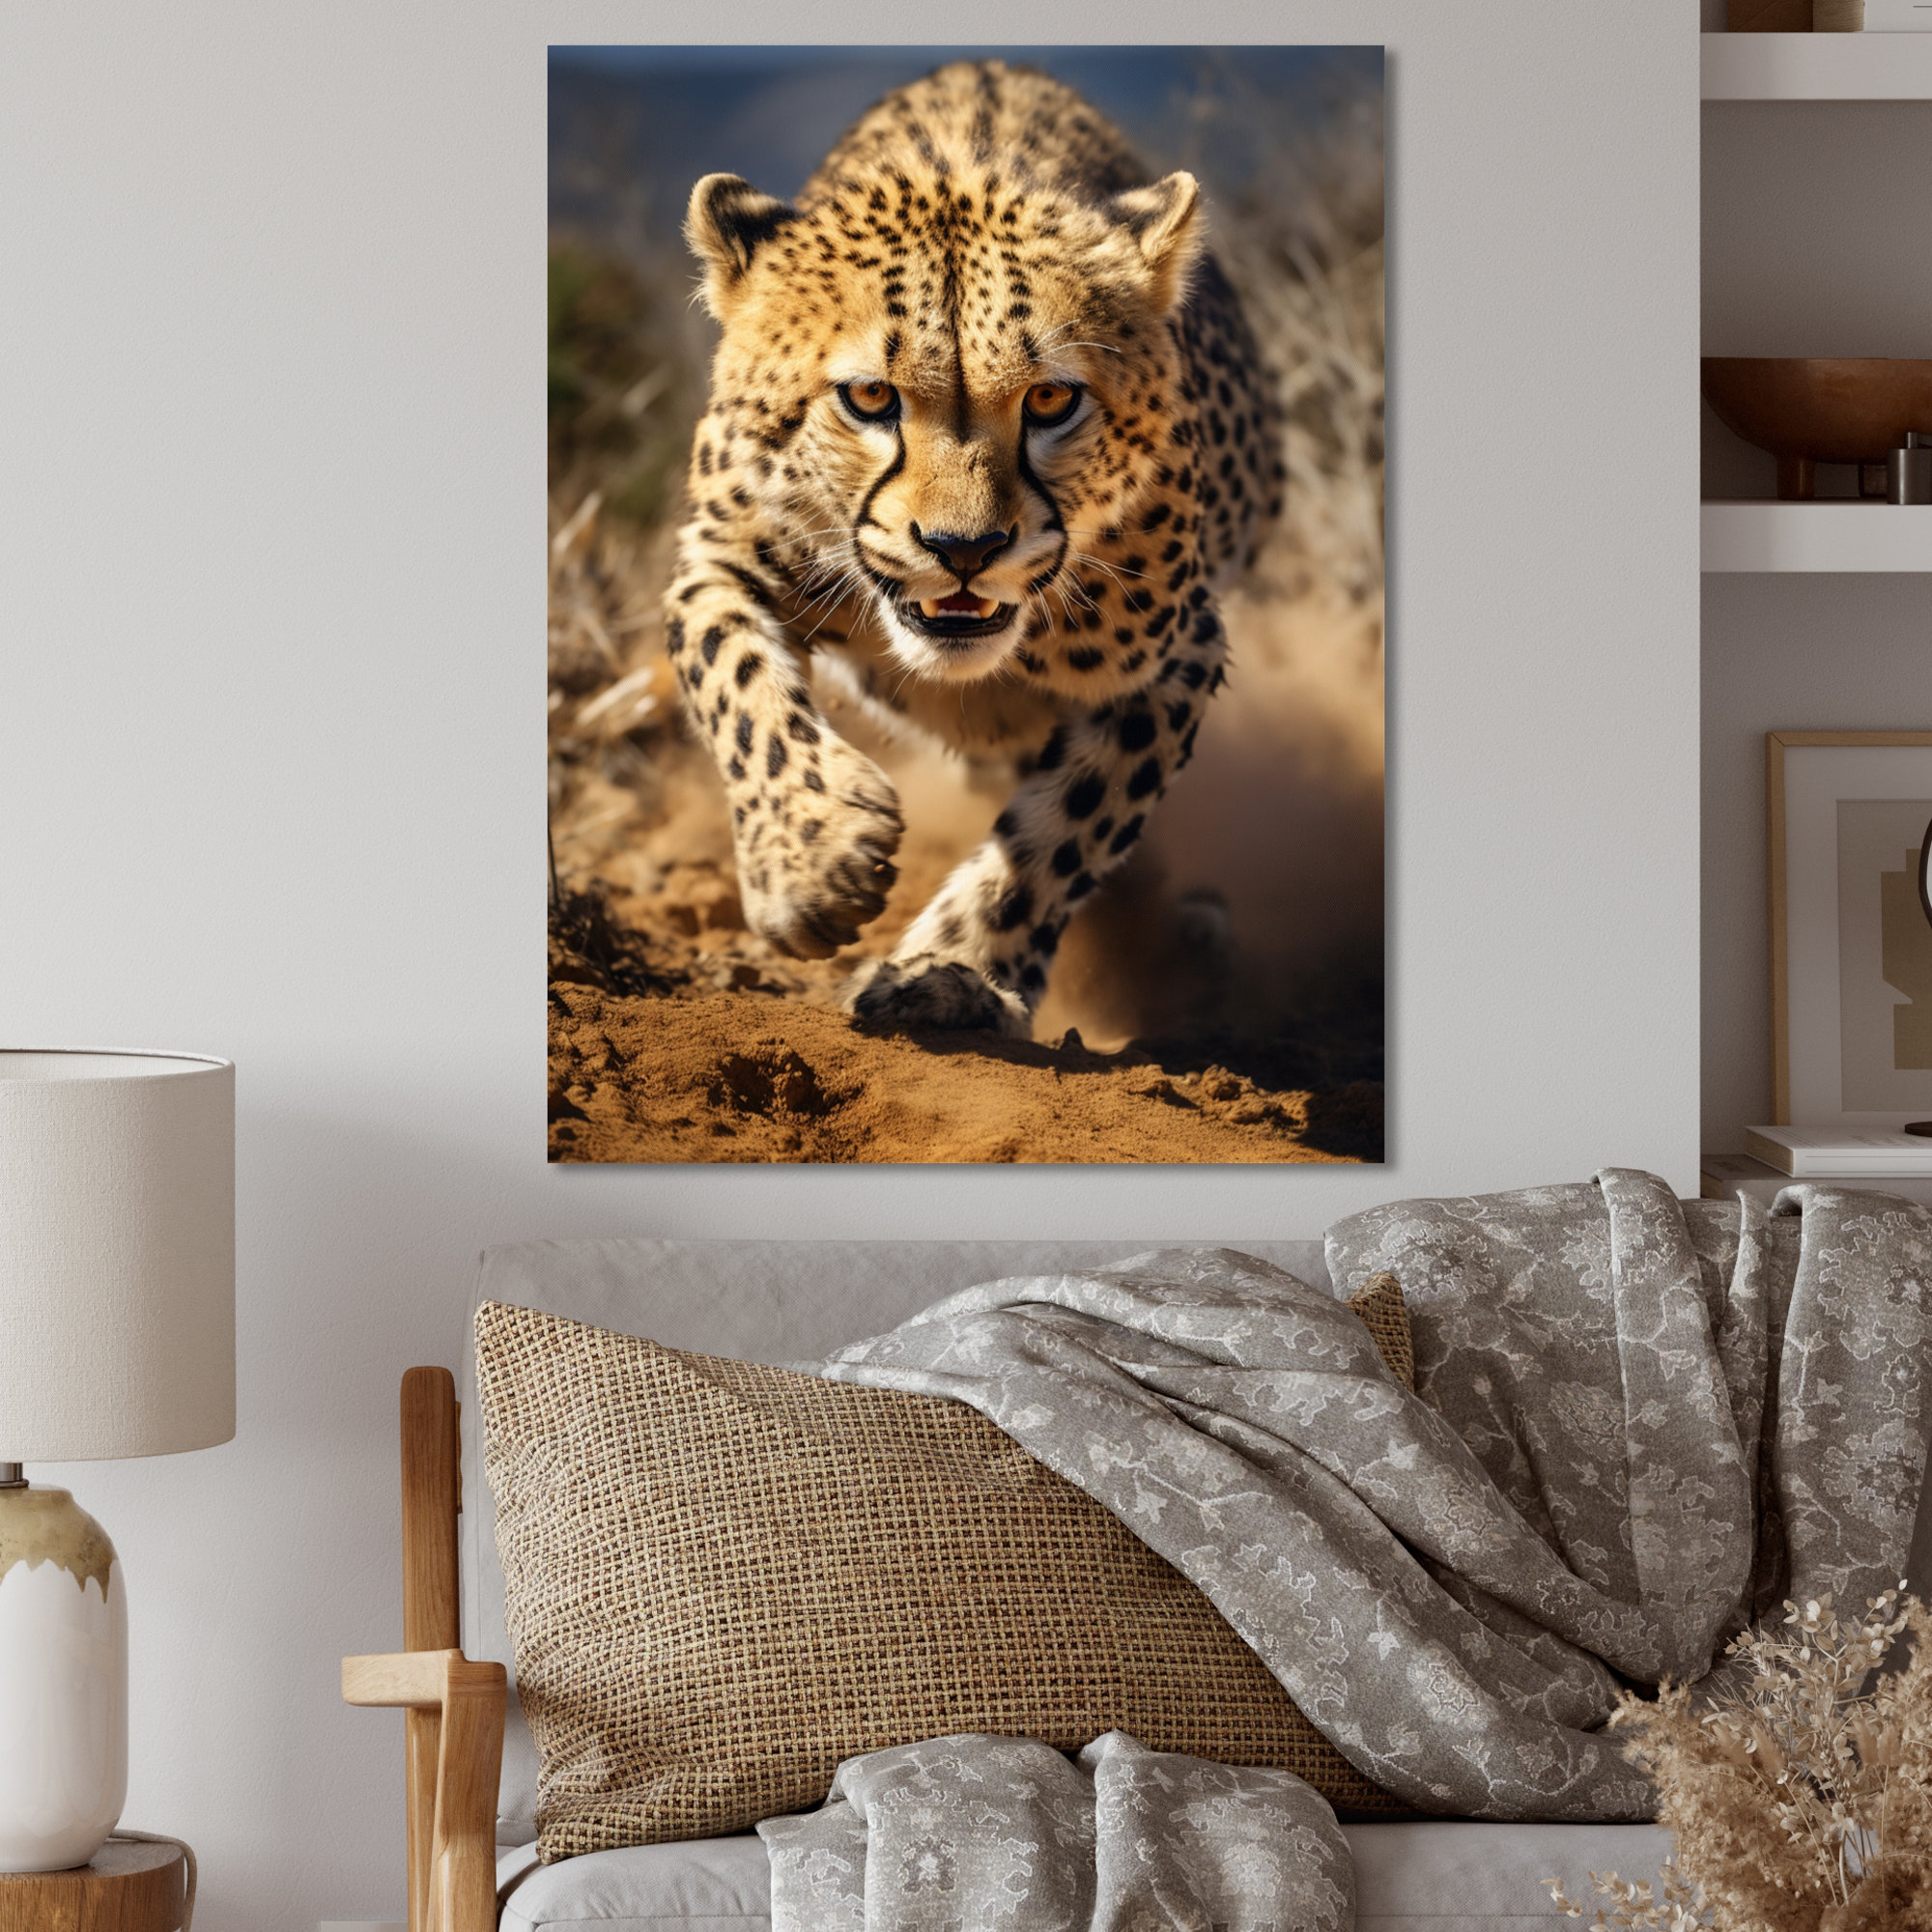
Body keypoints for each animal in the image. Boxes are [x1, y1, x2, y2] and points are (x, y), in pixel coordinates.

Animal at [667, 59, 1281, 1038]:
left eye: (1051, 400)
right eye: (869, 397)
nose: (964, 548)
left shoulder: (1178, 654)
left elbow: (1070, 825)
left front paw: (952, 969)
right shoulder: (719, 556)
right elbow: (733, 678)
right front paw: (809, 859)